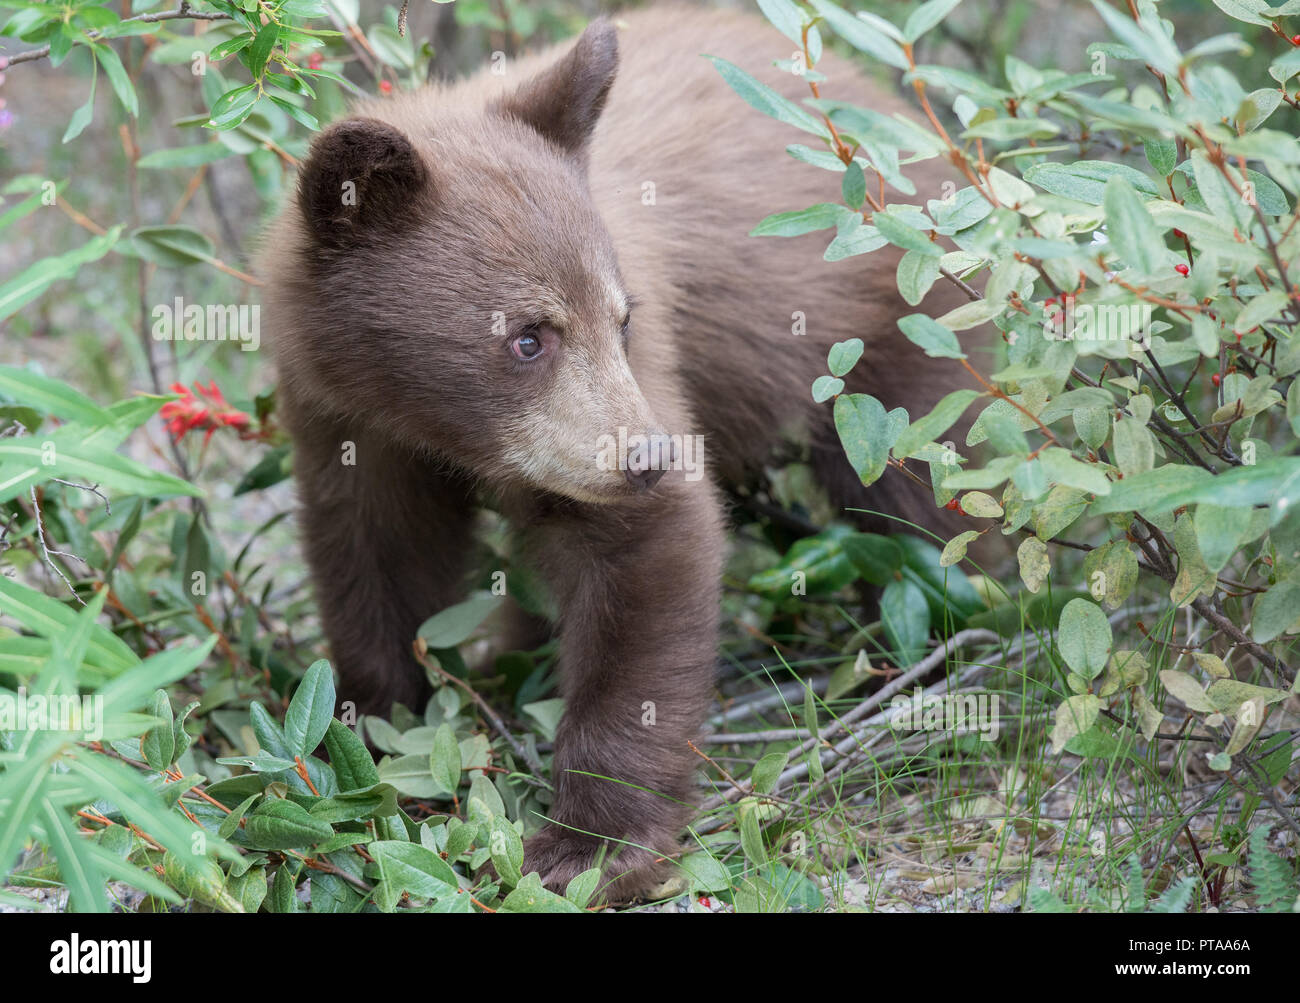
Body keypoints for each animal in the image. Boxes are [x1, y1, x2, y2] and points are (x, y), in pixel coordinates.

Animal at [258, 3, 972, 899]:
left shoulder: (634, 387)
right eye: (529, 337)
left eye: (621, 318)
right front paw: (374, 742)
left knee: (922, 496)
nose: (646, 457)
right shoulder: (345, 417)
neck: (427, 419)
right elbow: (377, 554)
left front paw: (589, 847)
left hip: (894, 332)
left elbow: (650, 553)